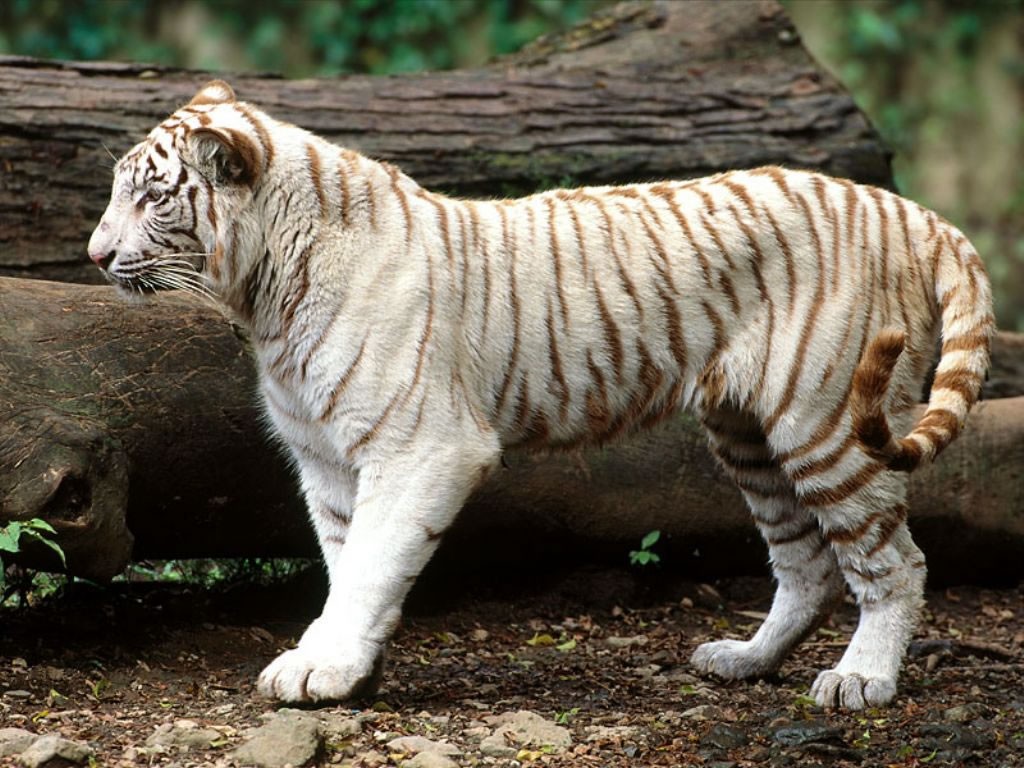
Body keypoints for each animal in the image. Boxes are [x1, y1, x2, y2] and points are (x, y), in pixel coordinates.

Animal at [88, 80, 993, 711]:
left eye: (153, 196)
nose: (95, 254)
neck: (265, 292)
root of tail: (912, 211)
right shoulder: (328, 459)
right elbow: (348, 563)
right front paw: (345, 669)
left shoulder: (422, 446)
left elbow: (373, 561)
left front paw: (324, 668)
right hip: (746, 433)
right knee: (805, 564)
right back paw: (743, 661)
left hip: (829, 420)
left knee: (892, 563)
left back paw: (860, 681)